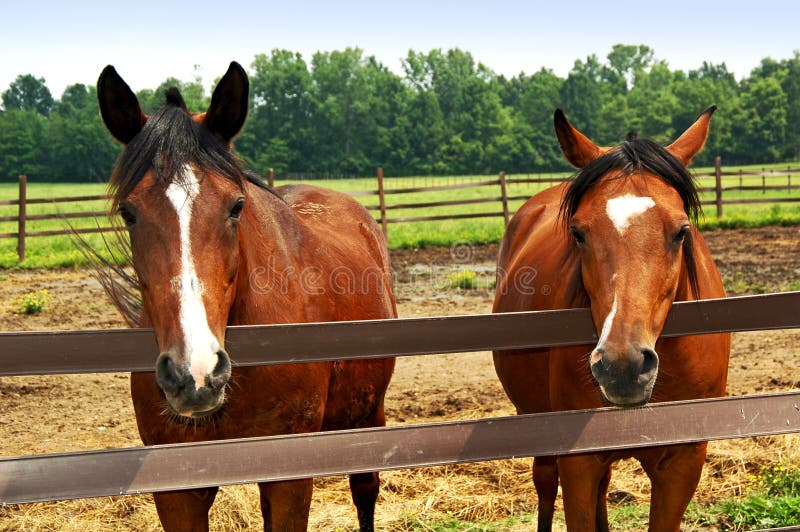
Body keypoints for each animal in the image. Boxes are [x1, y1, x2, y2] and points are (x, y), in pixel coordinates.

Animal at [96, 62, 396, 531]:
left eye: (236, 206)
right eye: (129, 212)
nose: (194, 374)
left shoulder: (289, 480)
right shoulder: (178, 491)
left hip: (368, 415)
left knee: (365, 491)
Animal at [492, 108, 731, 531]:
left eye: (681, 231)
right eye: (578, 233)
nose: (623, 366)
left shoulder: (683, 464)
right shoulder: (578, 463)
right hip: (535, 423)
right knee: (544, 484)